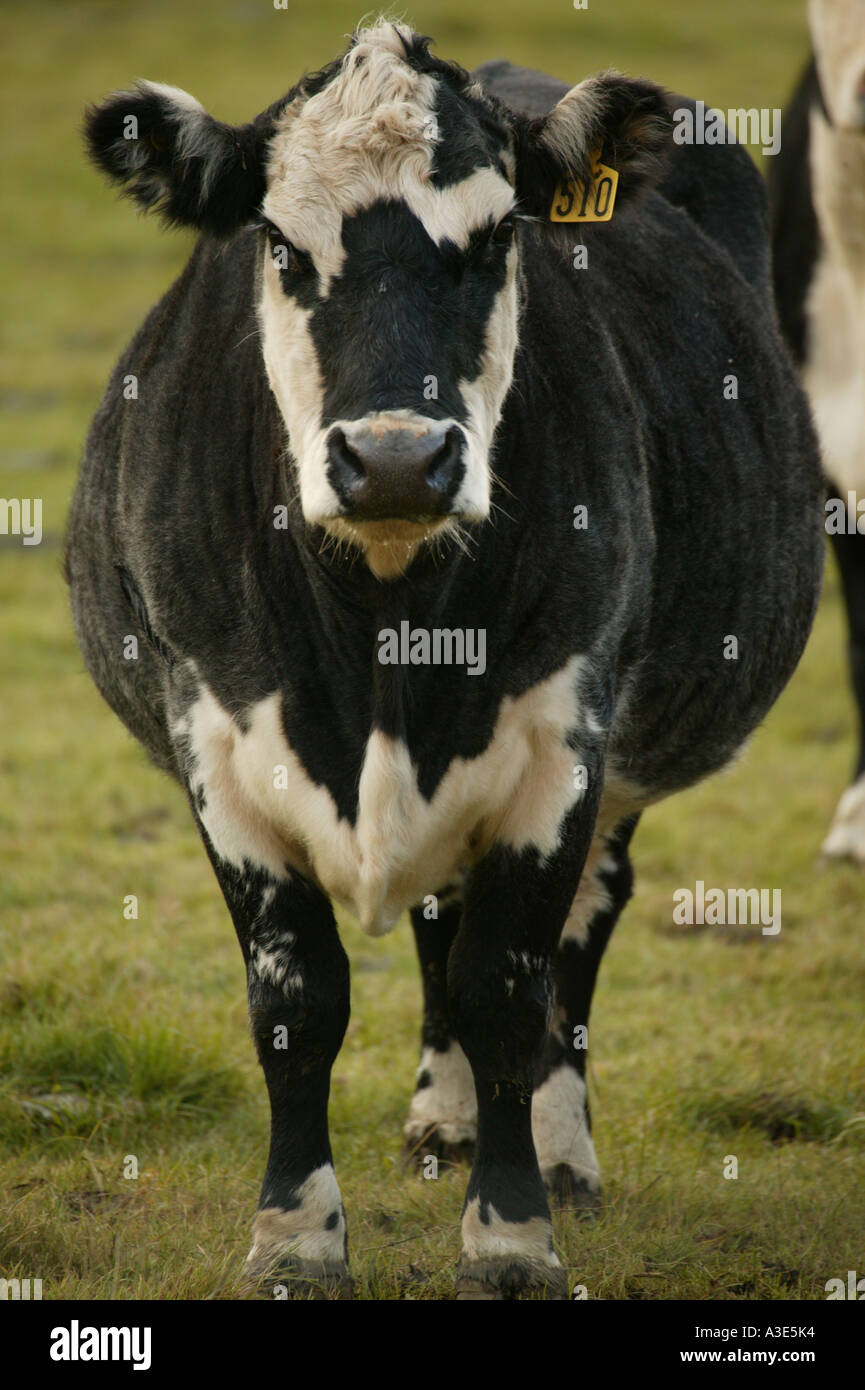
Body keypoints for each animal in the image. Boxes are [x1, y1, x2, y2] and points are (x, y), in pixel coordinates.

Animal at [66, 18, 824, 1299]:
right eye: (281, 242)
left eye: (496, 238)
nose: (394, 459)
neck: (383, 637)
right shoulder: (217, 743)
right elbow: (297, 998)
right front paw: (294, 1235)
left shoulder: (560, 739)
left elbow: (506, 986)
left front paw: (513, 1233)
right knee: (436, 925)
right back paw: (442, 1123)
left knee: (576, 933)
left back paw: (557, 1151)